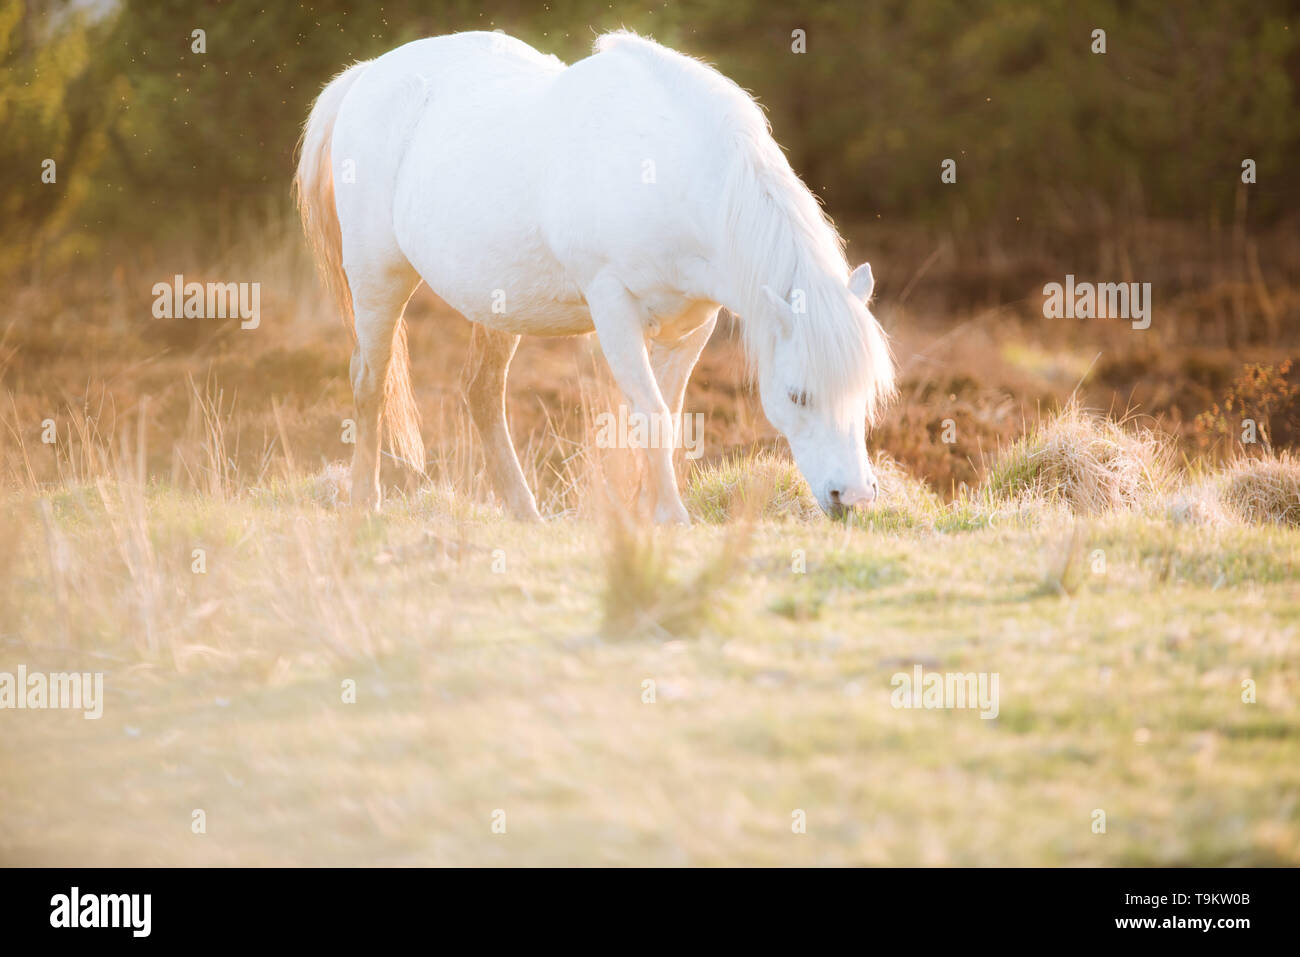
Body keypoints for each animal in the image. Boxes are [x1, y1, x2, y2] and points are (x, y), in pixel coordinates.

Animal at [294, 30, 895, 523]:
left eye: (866, 390)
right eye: (797, 395)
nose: (853, 498)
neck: (672, 173)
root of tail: (369, 74)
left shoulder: (693, 324)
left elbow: (664, 415)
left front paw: (642, 510)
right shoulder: (614, 309)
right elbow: (651, 414)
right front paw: (670, 518)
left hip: (497, 304)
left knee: (482, 393)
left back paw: (525, 512)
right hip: (377, 276)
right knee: (370, 382)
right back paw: (365, 501)